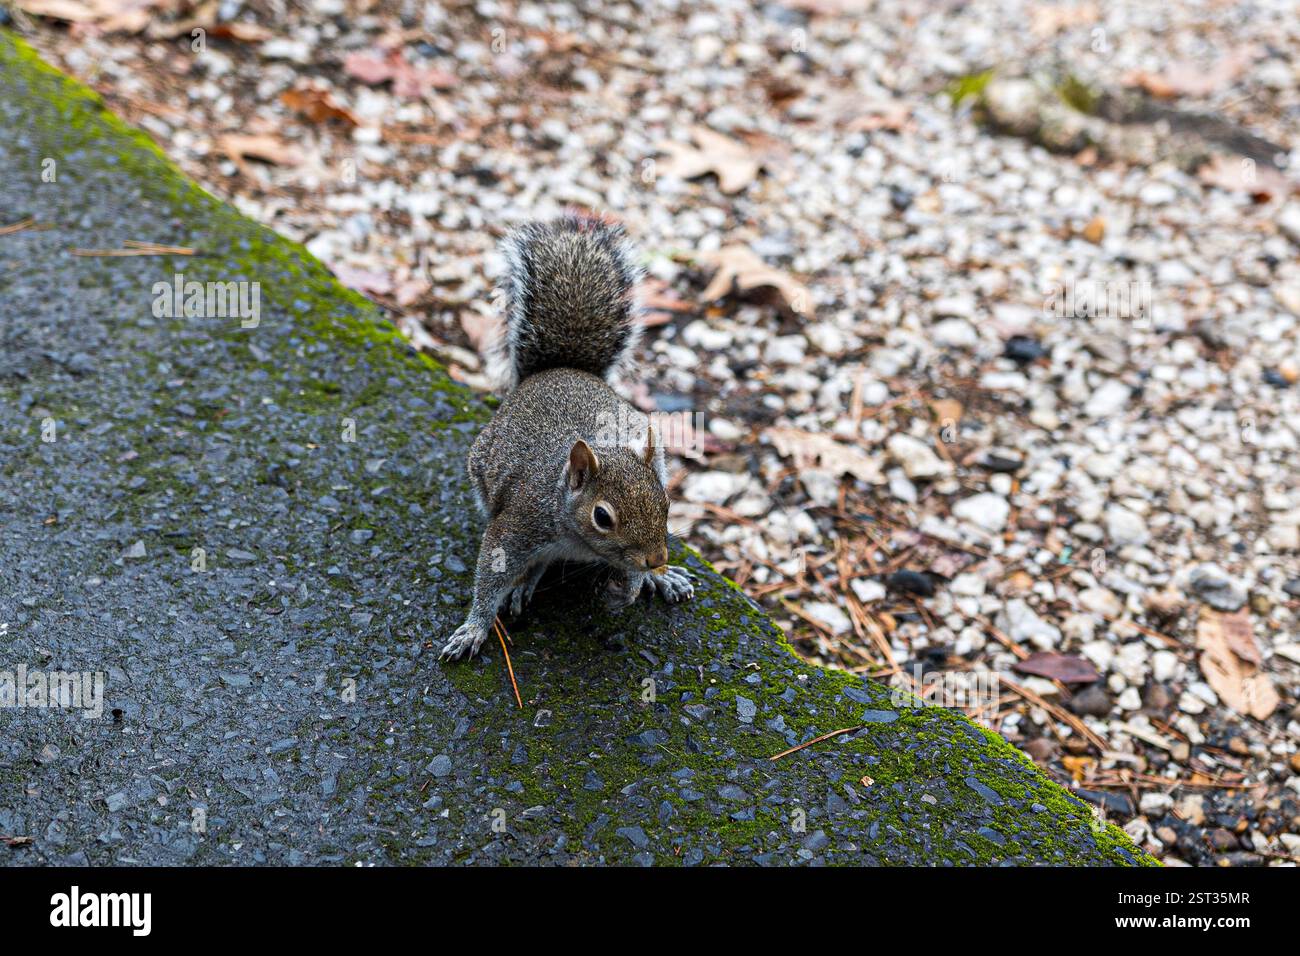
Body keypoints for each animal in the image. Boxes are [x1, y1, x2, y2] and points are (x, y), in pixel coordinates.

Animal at [440, 213, 695, 661]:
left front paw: (633, 587)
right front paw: (474, 629)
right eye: (603, 517)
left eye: (666, 503)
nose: (655, 558)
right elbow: (490, 574)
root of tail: (559, 370)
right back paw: (528, 581)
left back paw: (663, 578)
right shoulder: (517, 525)